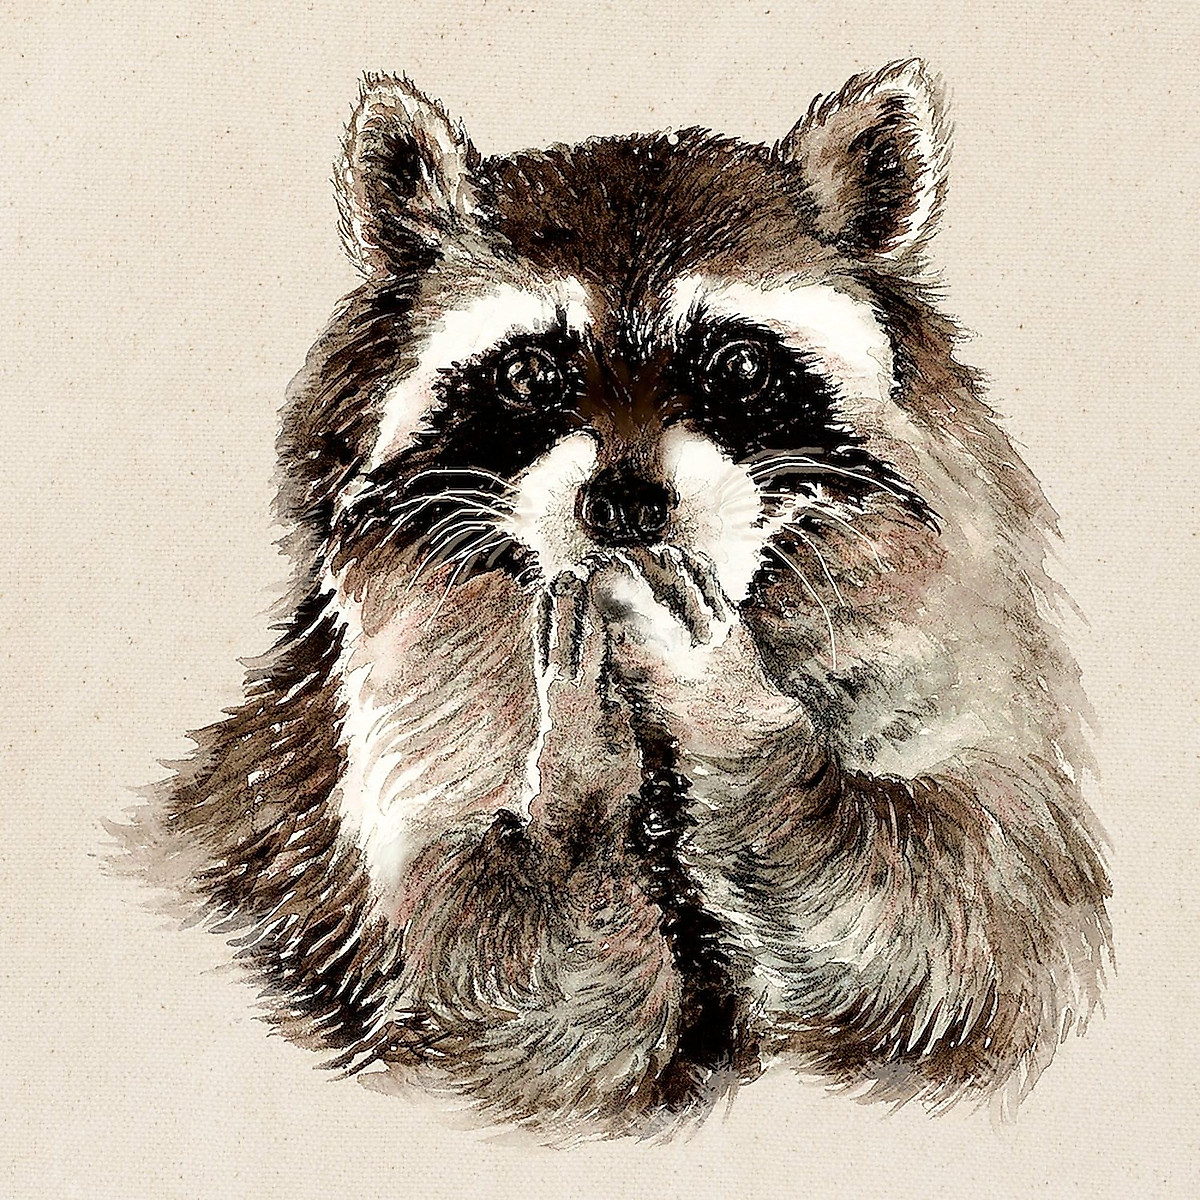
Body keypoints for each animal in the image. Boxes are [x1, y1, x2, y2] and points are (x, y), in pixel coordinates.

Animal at [120, 59, 1112, 1140]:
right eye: (527, 373)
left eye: (742, 366)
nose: (626, 507)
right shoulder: (382, 740)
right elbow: (498, 998)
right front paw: (576, 788)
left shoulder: (939, 653)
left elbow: (955, 933)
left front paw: (723, 696)